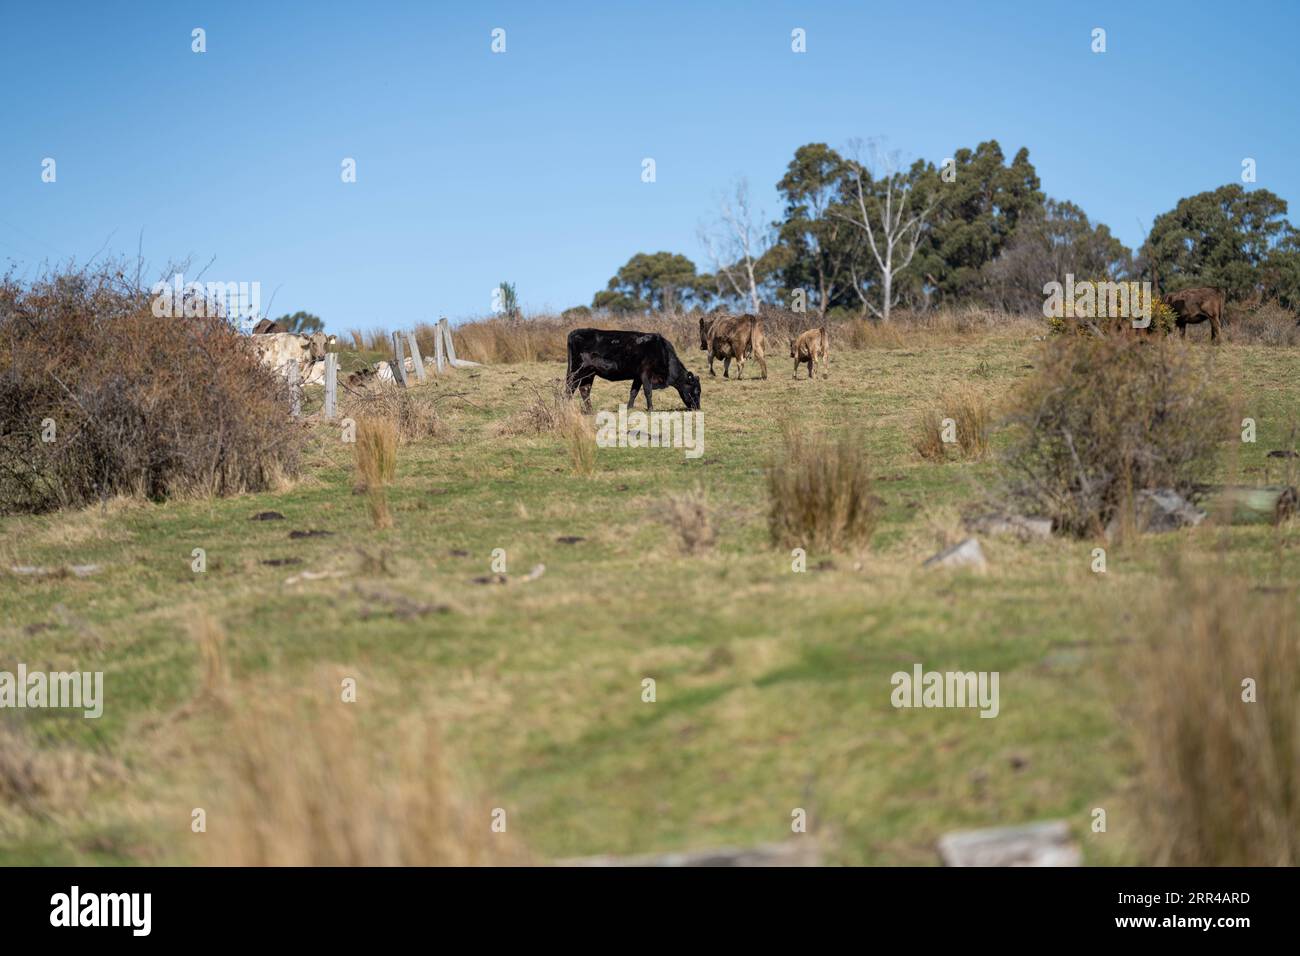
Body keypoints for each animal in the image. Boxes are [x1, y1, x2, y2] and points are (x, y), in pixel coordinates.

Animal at [565, 329, 701, 412]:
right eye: (697, 391)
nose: (698, 408)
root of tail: (575, 332)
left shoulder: (638, 376)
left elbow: (634, 392)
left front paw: (629, 408)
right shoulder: (646, 373)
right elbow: (648, 391)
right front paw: (651, 409)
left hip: (589, 372)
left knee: (584, 389)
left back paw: (590, 411)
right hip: (577, 369)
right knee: (570, 387)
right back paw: (567, 407)